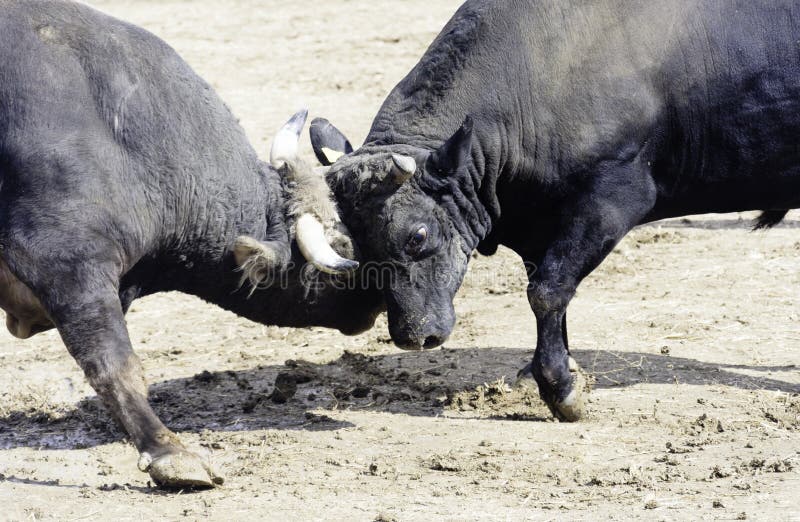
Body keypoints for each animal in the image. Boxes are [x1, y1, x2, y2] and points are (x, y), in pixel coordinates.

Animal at [0, 0, 383, 488]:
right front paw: (171, 454)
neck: (125, 135)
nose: (376, 301)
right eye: (342, 245)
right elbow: (114, 364)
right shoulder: (67, 261)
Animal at [310, 0, 800, 423]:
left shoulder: (612, 198)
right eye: (358, 244)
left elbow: (547, 291)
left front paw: (561, 388)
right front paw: (546, 371)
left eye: (417, 235)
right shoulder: (539, 224)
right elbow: (547, 294)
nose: (413, 336)